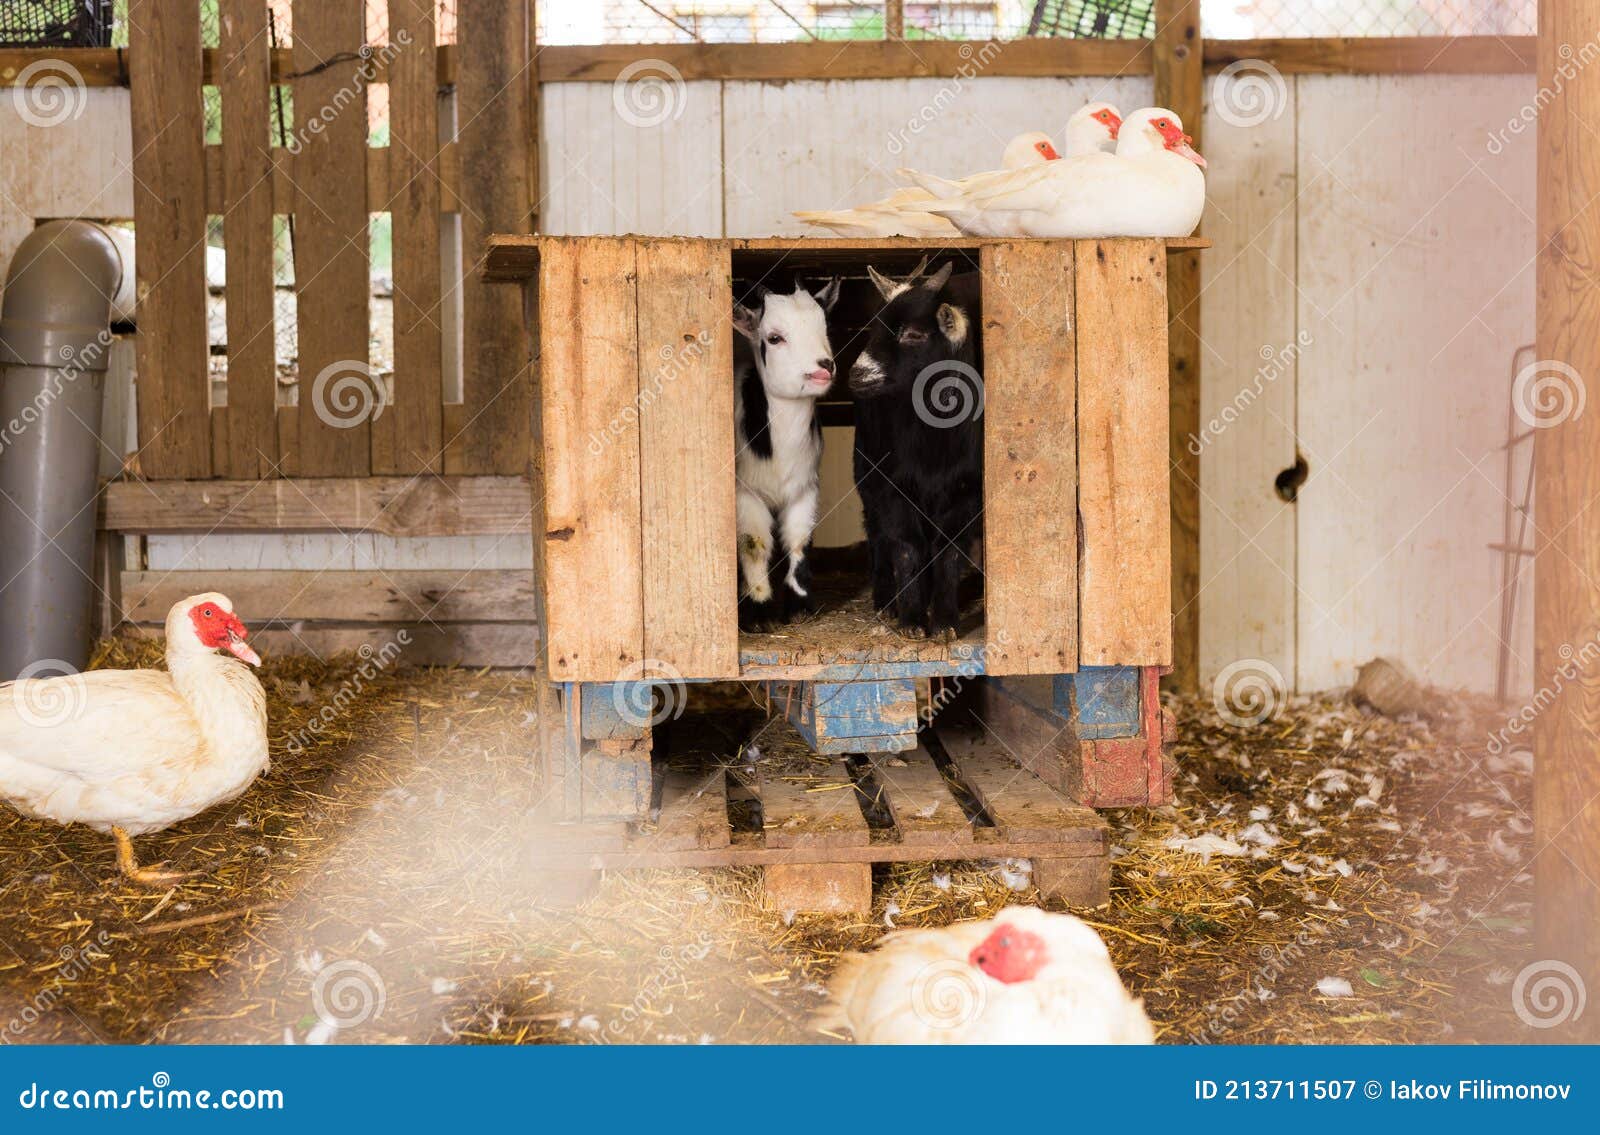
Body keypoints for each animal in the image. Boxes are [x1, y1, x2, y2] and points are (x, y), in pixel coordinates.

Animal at [733, 278, 841, 630]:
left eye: (825, 328)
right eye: (774, 338)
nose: (824, 366)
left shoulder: (806, 486)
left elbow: (799, 538)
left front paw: (799, 605)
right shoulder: (744, 491)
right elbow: (754, 543)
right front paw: (757, 610)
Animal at [850, 260, 983, 639]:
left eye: (913, 334)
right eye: (875, 327)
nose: (858, 375)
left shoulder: (968, 489)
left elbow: (948, 549)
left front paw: (945, 622)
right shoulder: (892, 483)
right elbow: (908, 545)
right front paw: (911, 619)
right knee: (877, 533)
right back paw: (886, 602)